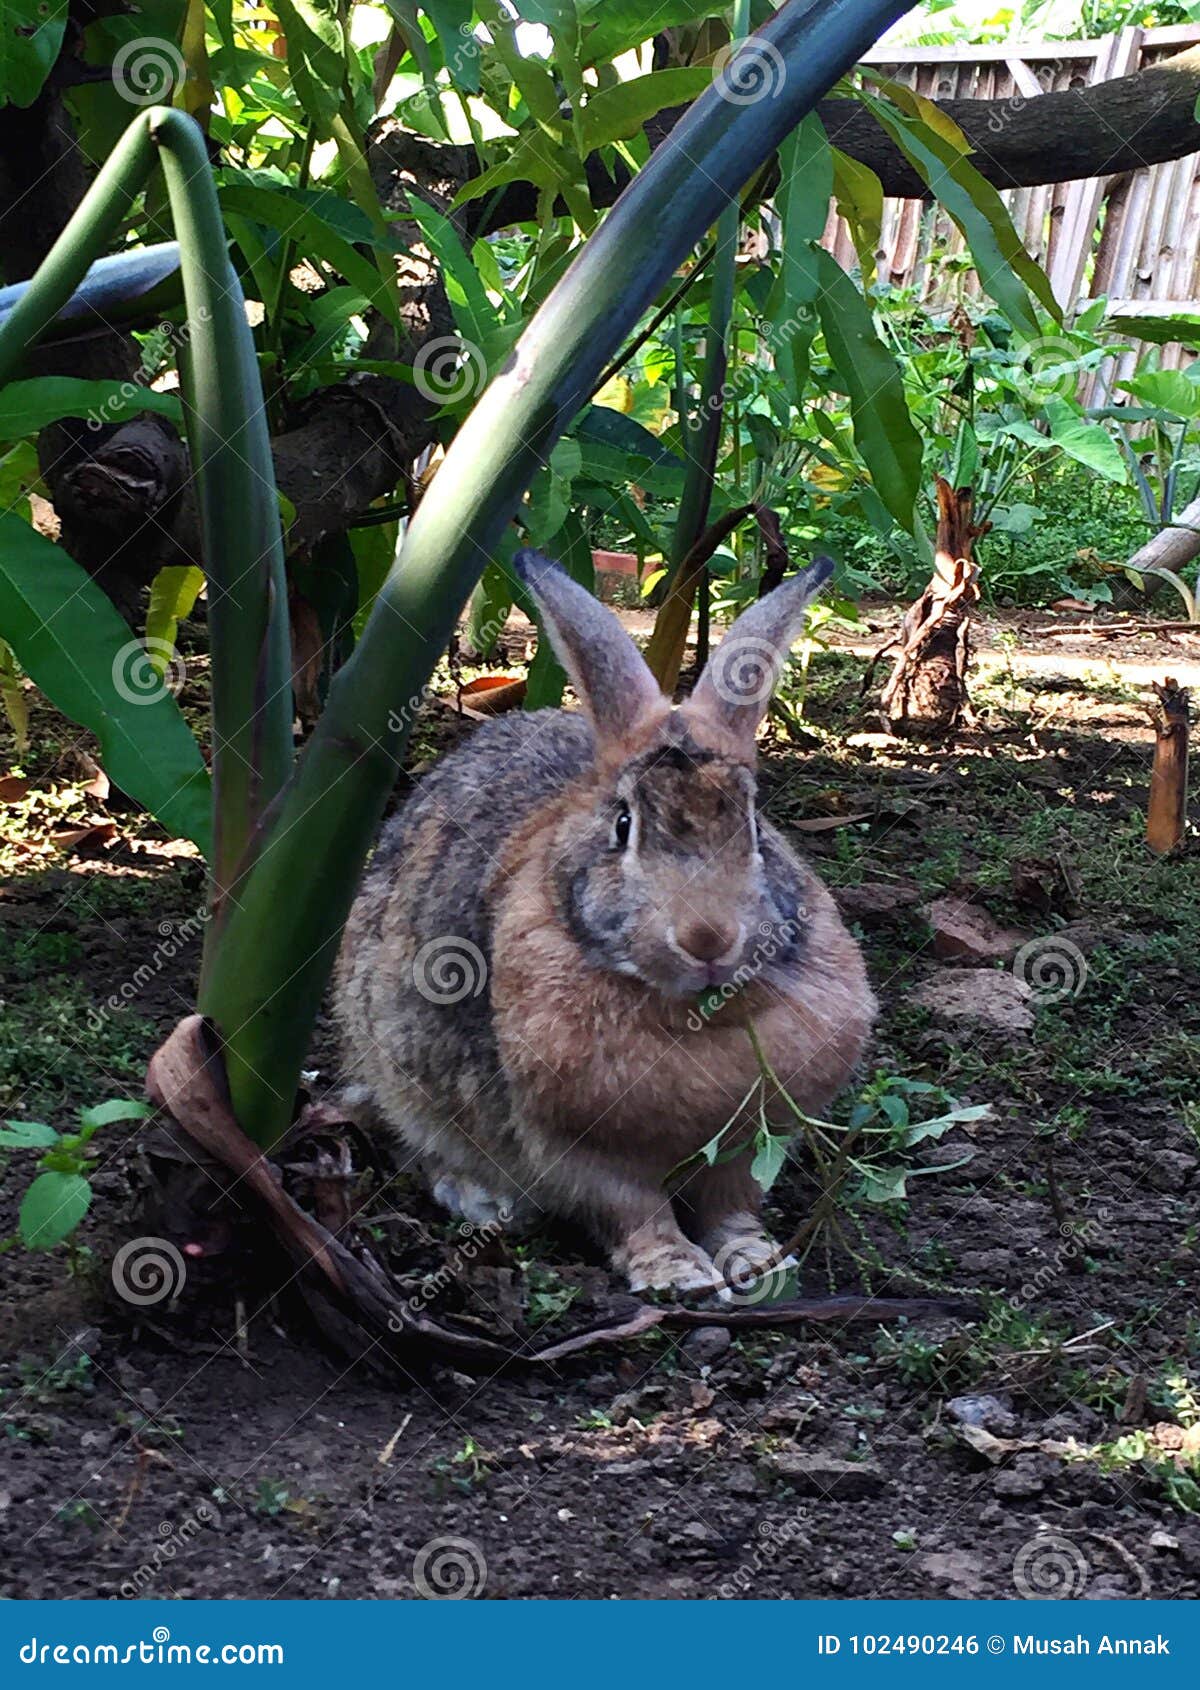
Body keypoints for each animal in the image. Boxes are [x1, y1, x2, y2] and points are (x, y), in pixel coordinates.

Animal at [333, 549, 876, 1294]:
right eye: (623, 826)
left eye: (756, 828)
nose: (708, 938)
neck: (693, 1011)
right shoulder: (581, 1152)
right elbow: (633, 1211)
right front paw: (677, 1274)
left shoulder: (746, 1148)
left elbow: (732, 1205)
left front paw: (755, 1262)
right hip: (403, 1073)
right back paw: (482, 1200)